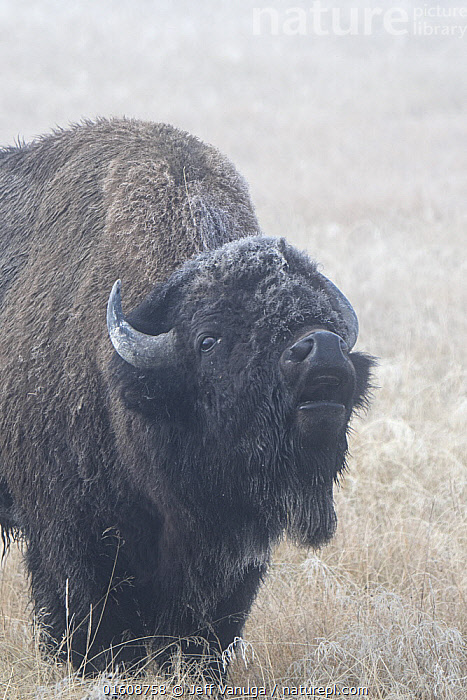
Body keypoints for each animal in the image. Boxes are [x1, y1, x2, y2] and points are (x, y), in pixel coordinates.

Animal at [0, 118, 373, 678]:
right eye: (208, 339)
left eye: (325, 319)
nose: (322, 350)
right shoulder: (71, 532)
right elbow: (86, 612)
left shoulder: (231, 551)